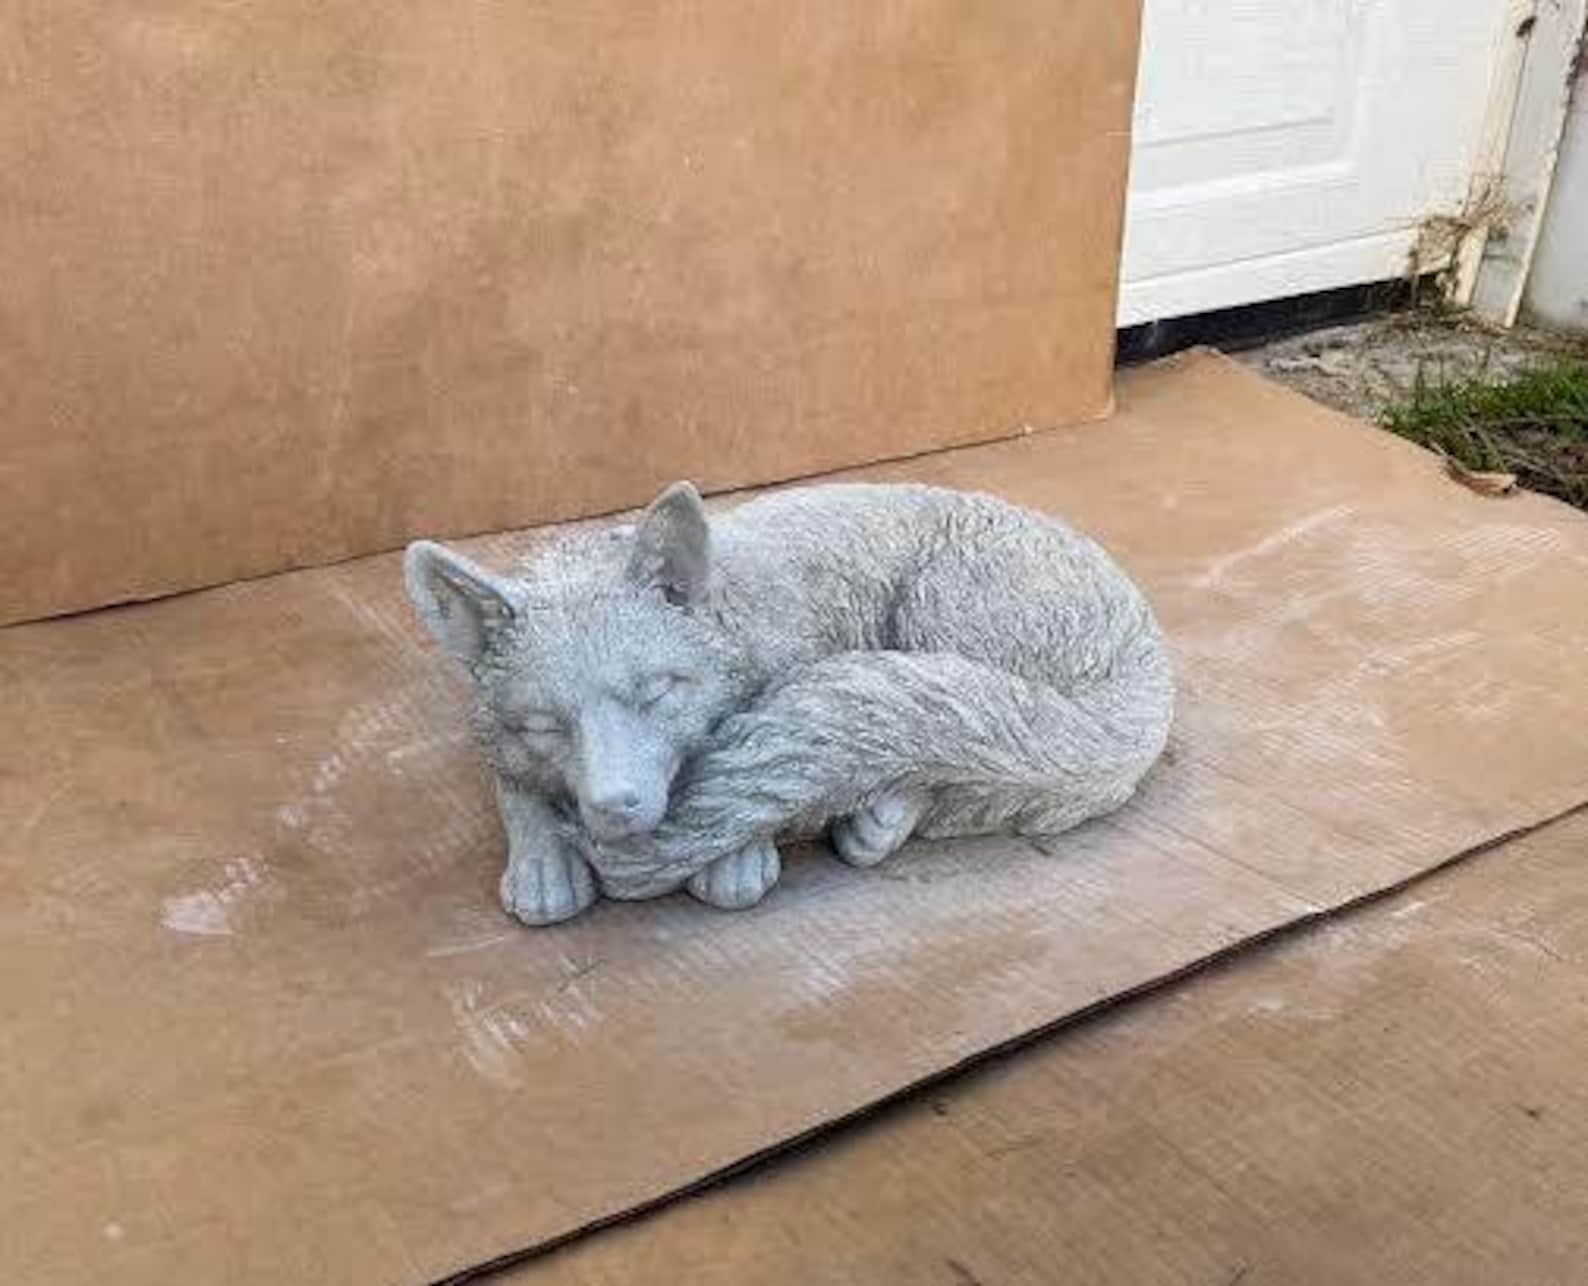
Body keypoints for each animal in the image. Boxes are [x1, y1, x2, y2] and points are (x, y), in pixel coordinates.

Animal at [404, 480, 1174, 925]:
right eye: (542, 725)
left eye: (657, 691)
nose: (613, 806)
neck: (736, 608)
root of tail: (1139, 634)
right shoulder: (500, 740)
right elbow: (513, 787)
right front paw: (542, 864)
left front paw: (736, 860)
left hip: (943, 612)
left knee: (950, 736)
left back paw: (881, 818)